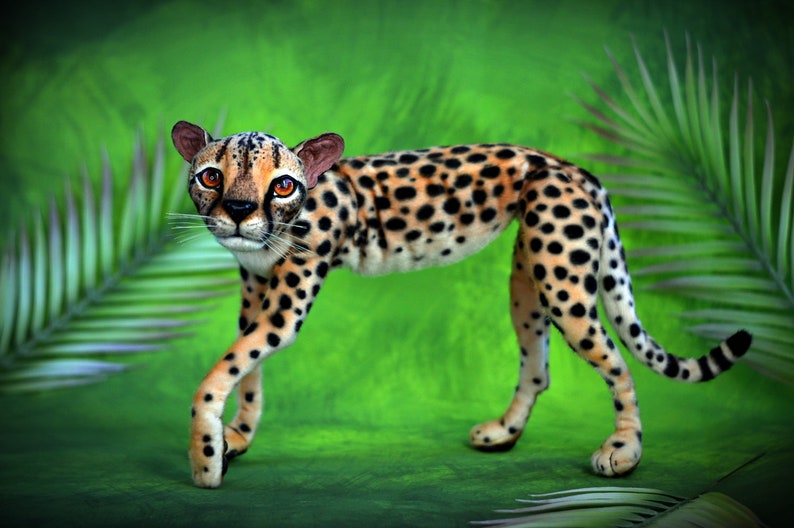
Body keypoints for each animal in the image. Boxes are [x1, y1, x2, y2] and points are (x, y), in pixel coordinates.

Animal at [171, 120, 752, 489]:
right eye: (211, 176)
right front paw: (236, 437)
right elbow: (247, 371)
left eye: (283, 185)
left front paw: (206, 459)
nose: (239, 210)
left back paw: (624, 452)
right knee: (538, 368)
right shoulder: (255, 290)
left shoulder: (283, 308)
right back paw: (503, 433)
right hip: (528, 279)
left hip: (564, 284)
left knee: (617, 361)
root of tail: (573, 167)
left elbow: (218, 375)